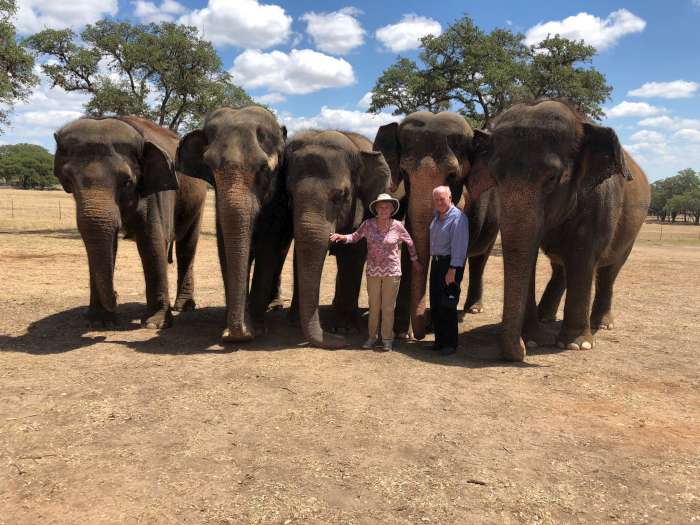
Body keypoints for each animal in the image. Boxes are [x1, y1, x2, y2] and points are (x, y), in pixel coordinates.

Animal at [53, 116, 208, 328]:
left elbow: (152, 242)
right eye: (68, 180)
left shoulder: (156, 192)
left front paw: (155, 324)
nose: (116, 295)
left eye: (126, 182)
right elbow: (106, 246)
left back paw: (183, 307)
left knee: (186, 247)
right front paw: (100, 322)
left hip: (197, 201)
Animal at [176, 106, 291, 343]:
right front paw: (229, 330)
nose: (238, 333)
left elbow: (268, 248)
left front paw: (256, 330)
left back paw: (274, 306)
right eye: (209, 166)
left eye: (264, 168)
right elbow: (224, 249)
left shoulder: (277, 200)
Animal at [285, 130, 391, 348]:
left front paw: (345, 330)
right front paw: (293, 323)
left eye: (341, 196)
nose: (340, 341)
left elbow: (352, 257)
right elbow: (300, 253)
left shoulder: (362, 210)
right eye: (289, 194)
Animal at [373, 112, 500, 340]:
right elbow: (408, 247)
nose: (420, 333)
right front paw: (401, 333)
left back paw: (474, 309)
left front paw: (430, 325)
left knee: (480, 257)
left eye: (452, 175)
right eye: (404, 173)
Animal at [472, 99, 651, 361]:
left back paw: (602, 324)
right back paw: (546, 317)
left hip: (632, 231)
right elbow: (530, 255)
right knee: (561, 268)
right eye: (494, 176)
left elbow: (582, 257)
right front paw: (534, 340)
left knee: (609, 270)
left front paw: (576, 345)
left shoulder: (599, 202)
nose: (521, 351)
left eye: (552, 178)